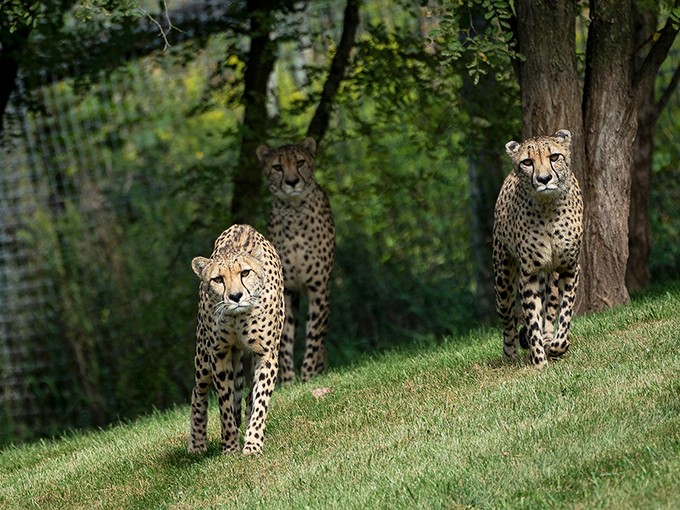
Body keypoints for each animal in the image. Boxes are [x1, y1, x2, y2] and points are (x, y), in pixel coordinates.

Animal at [187, 224, 284, 455]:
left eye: (245, 273)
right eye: (218, 279)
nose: (235, 296)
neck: (238, 317)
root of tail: (240, 225)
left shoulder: (267, 353)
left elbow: (260, 400)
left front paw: (253, 443)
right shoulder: (218, 354)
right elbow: (225, 405)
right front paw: (230, 447)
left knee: (249, 396)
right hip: (203, 358)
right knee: (198, 391)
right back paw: (197, 443)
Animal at [256, 137, 336, 384]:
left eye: (300, 162)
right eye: (277, 167)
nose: (292, 182)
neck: (295, 213)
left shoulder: (318, 287)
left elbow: (314, 336)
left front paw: (308, 377)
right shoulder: (286, 291)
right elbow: (285, 339)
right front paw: (289, 381)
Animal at [492, 129, 583, 369]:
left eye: (554, 157)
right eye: (527, 162)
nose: (544, 179)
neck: (548, 206)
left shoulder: (570, 267)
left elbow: (565, 315)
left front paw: (556, 346)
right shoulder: (530, 274)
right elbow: (532, 320)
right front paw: (540, 362)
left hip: (551, 276)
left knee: (550, 309)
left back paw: (549, 338)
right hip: (502, 281)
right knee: (508, 318)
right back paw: (511, 353)